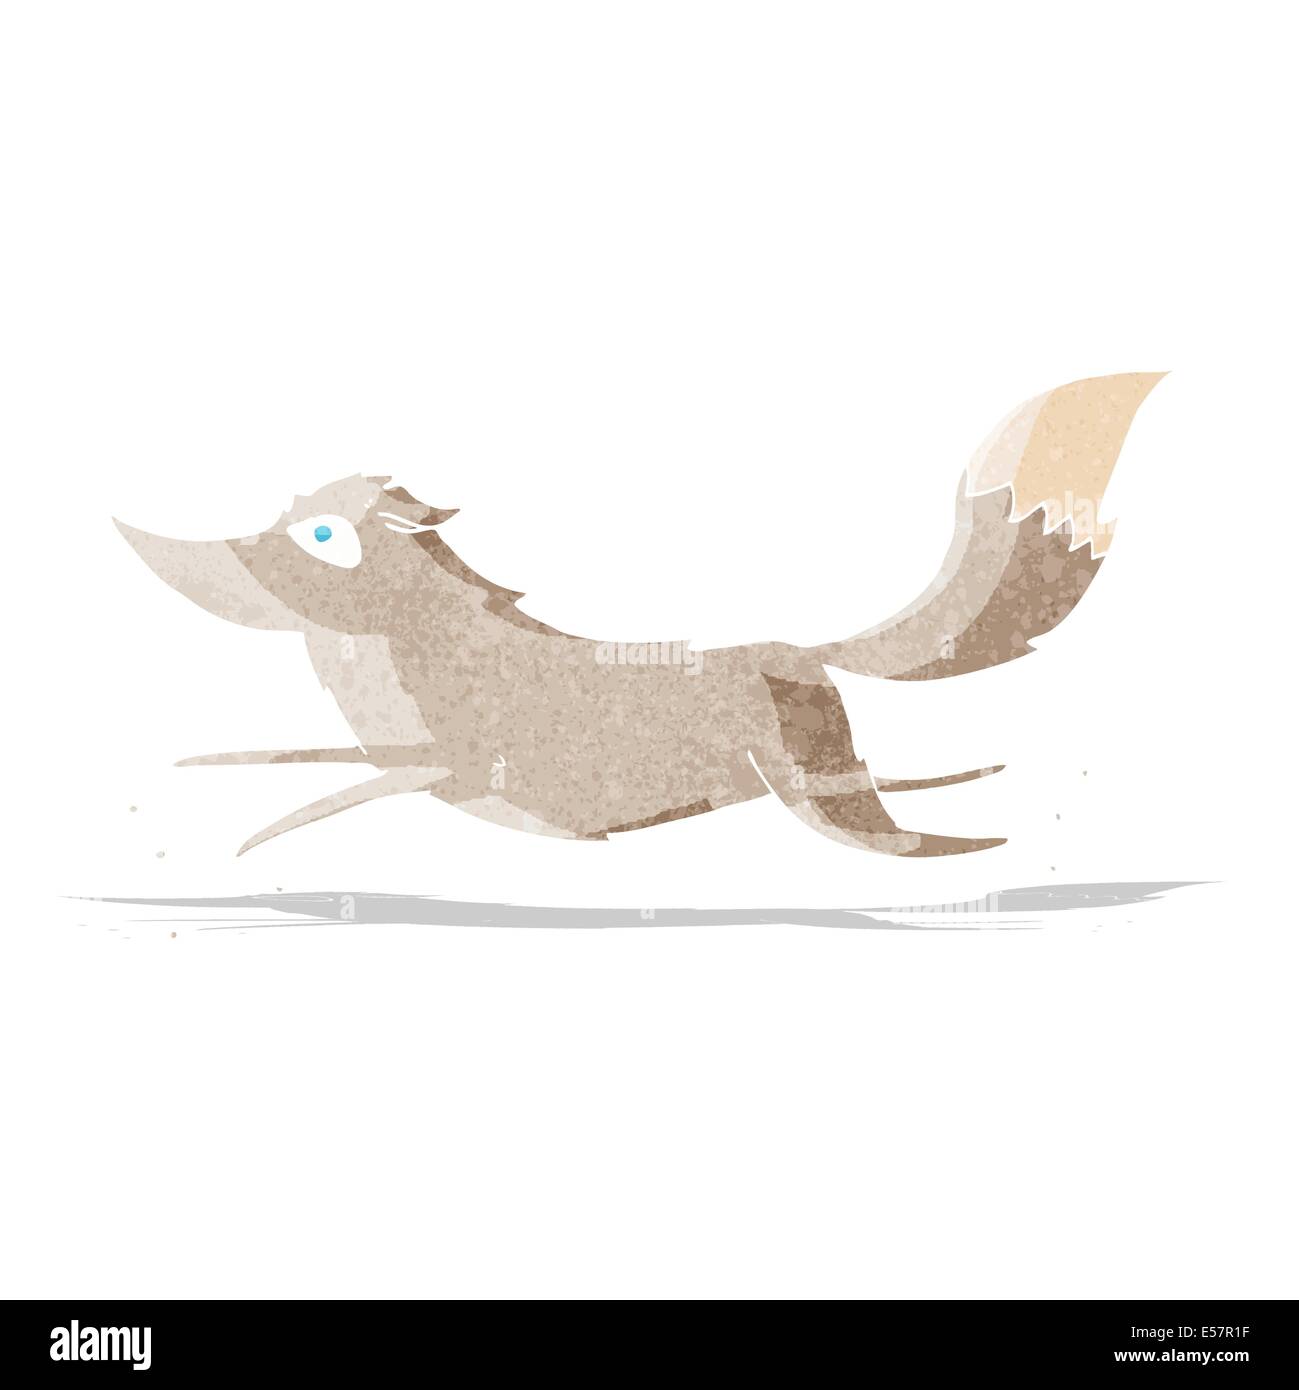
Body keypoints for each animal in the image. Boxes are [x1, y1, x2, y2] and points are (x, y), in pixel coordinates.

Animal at [117, 372, 1163, 857]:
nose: (167, 554)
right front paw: (204, 770)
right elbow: (296, 757)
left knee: (866, 816)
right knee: (887, 779)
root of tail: (803, 647)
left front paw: (253, 838)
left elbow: (331, 789)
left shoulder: (449, 764)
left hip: (797, 771)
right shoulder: (403, 756)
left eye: (324, 536)